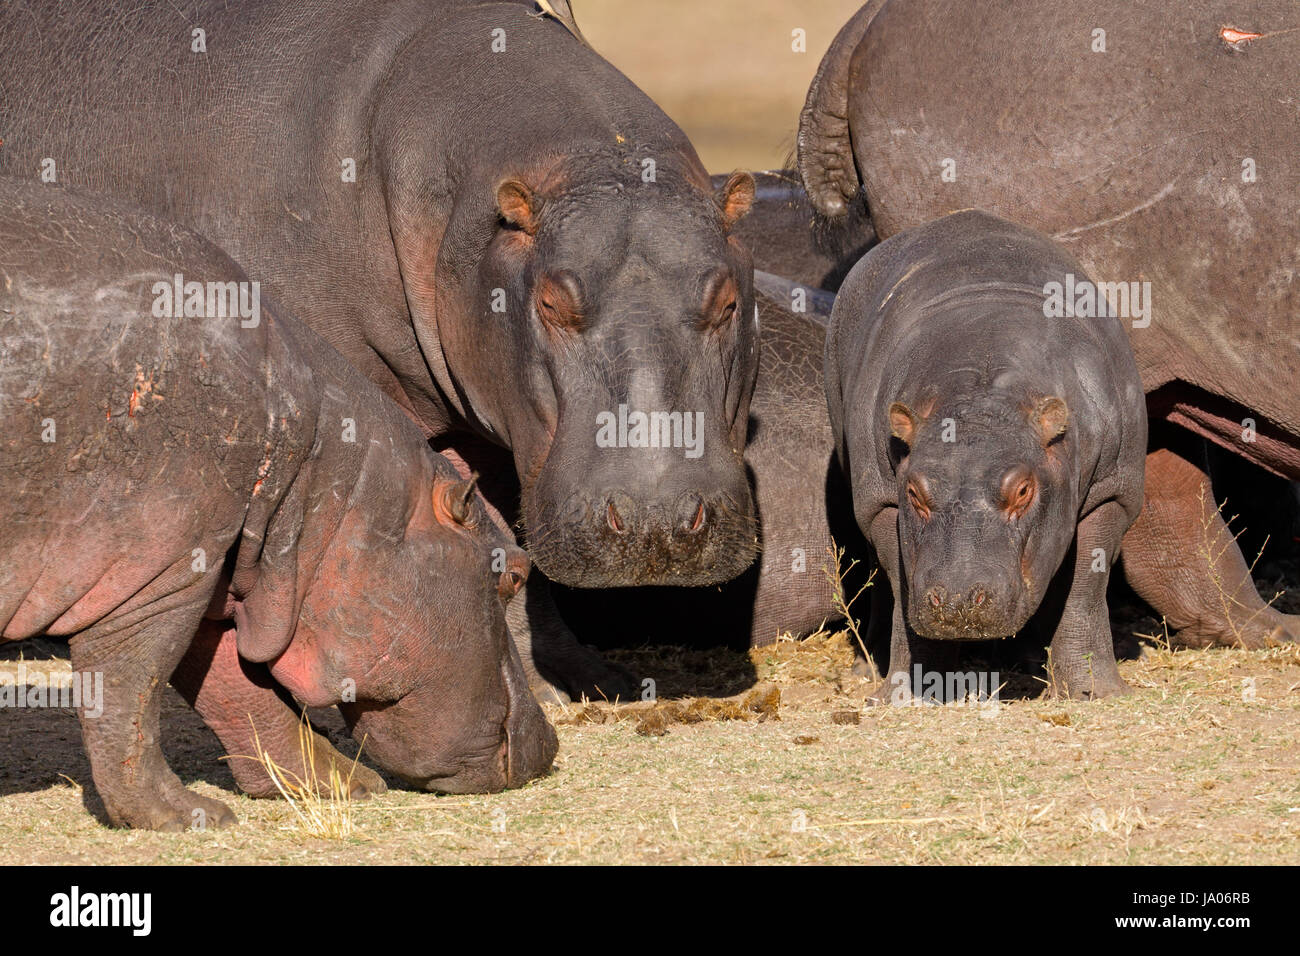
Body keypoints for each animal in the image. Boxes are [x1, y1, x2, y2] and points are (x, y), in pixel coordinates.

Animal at [0, 0, 760, 702]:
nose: (658, 520)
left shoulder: (502, 423)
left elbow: (509, 540)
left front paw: (585, 682)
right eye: (551, 303)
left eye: (728, 298)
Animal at [0, 178, 556, 829]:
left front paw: (345, 784)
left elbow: (238, 690)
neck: (322, 482)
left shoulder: (214, 577)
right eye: (514, 573)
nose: (552, 742)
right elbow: (129, 694)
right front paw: (192, 817)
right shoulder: (157, 581)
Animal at [825, 211, 1148, 700]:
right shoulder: (880, 499)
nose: (958, 600)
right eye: (913, 492)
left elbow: (1084, 593)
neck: (982, 394)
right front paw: (911, 692)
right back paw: (870, 666)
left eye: (1023, 490)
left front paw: (1095, 691)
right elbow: (901, 586)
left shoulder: (1112, 491)